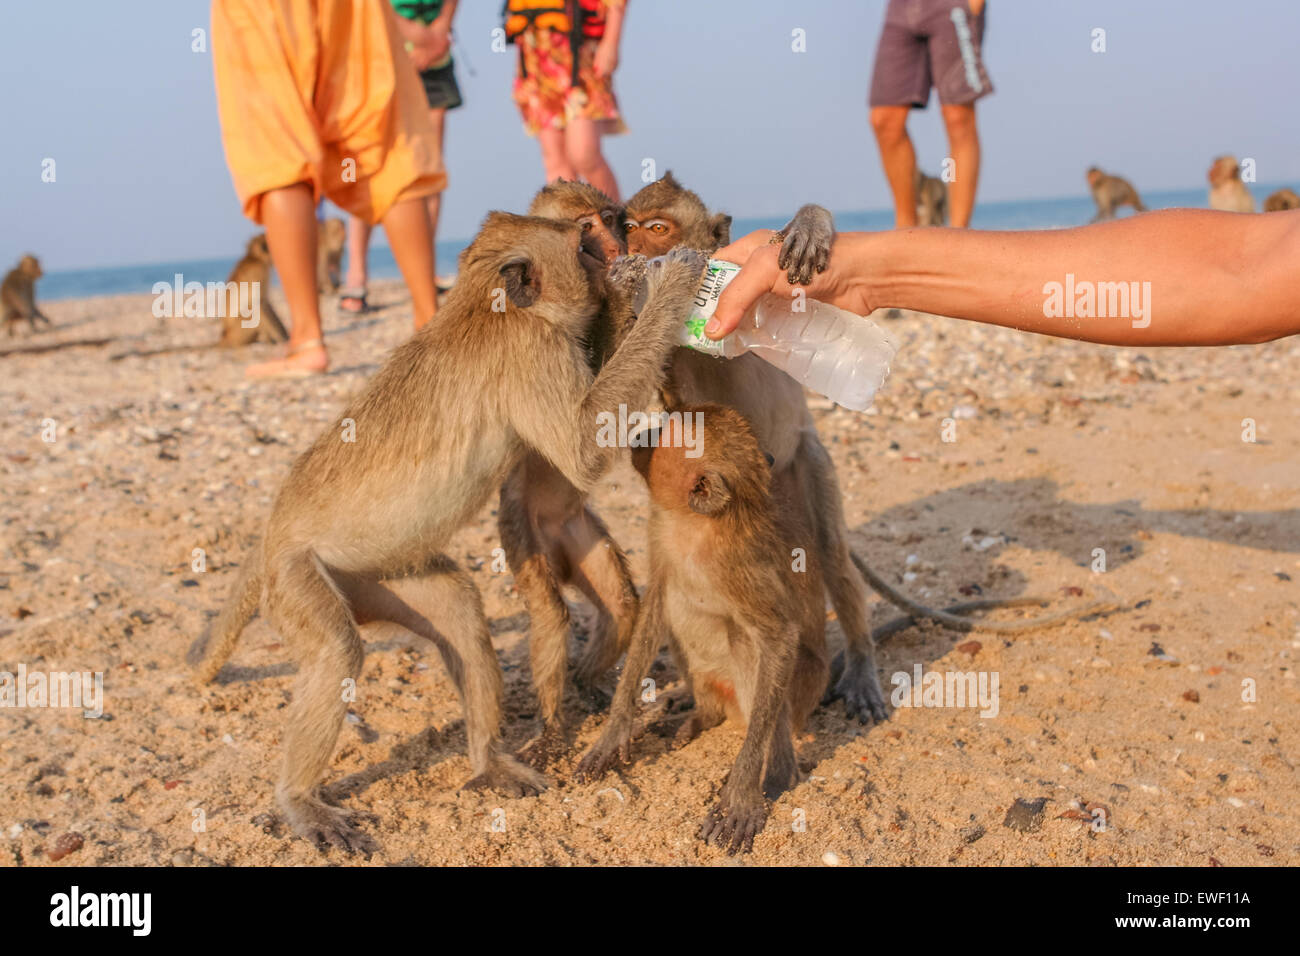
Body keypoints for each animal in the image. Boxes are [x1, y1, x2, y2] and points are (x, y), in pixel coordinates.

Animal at [189, 210, 708, 853]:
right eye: (582, 242)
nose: (608, 238)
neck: (482, 304)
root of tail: (272, 531)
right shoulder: (531, 349)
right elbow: (584, 451)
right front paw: (667, 285)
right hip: (295, 577)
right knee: (337, 651)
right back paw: (301, 801)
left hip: (374, 575)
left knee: (458, 613)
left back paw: (487, 761)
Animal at [575, 404, 829, 854]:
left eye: (666, 432)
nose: (641, 434)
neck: (696, 526)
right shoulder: (661, 529)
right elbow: (656, 601)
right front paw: (615, 729)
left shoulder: (739, 565)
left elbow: (779, 636)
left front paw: (742, 795)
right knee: (676, 612)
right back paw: (700, 716)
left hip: (805, 687)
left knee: (747, 641)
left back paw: (778, 770)